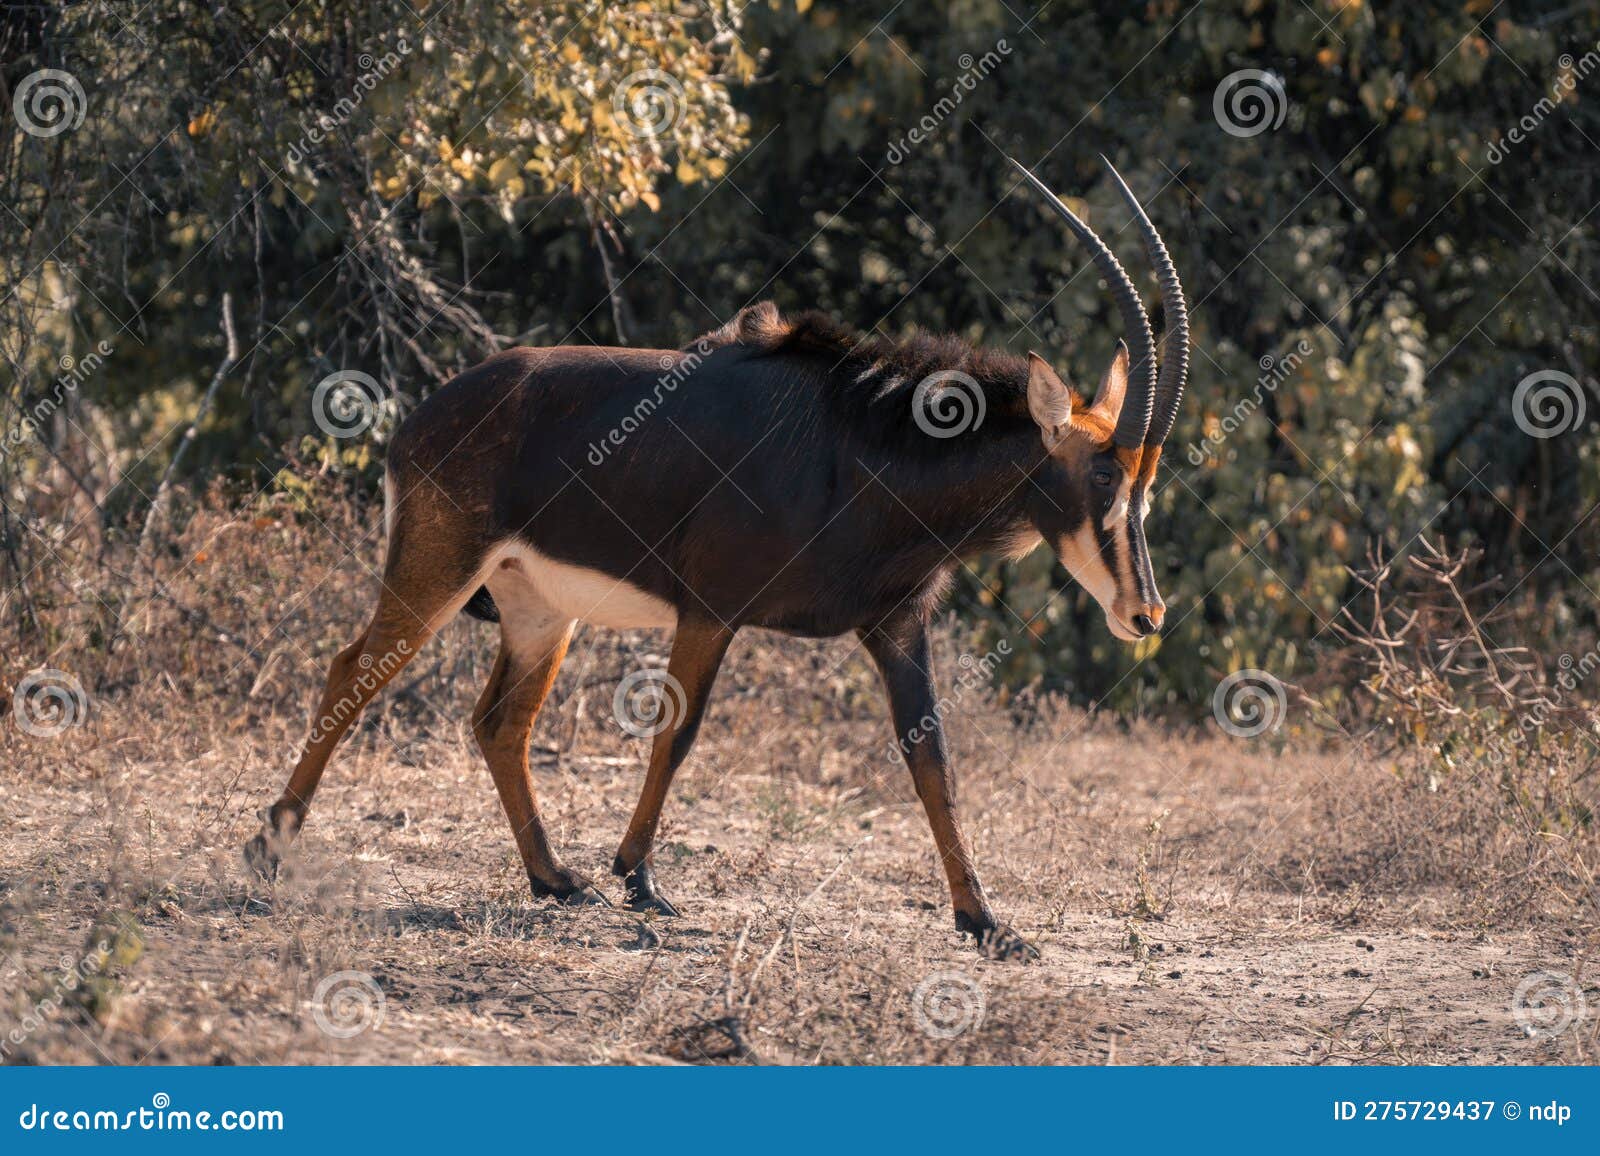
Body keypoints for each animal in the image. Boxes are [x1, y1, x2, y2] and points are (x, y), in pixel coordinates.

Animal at [245, 156, 1189, 960]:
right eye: (1103, 473)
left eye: (1148, 479)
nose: (1146, 614)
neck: (863, 445)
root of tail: (421, 419)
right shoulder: (713, 609)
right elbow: (680, 730)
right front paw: (640, 879)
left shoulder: (895, 626)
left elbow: (934, 763)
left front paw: (988, 923)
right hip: (440, 567)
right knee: (354, 673)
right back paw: (272, 845)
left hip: (540, 611)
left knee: (498, 722)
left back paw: (554, 879)